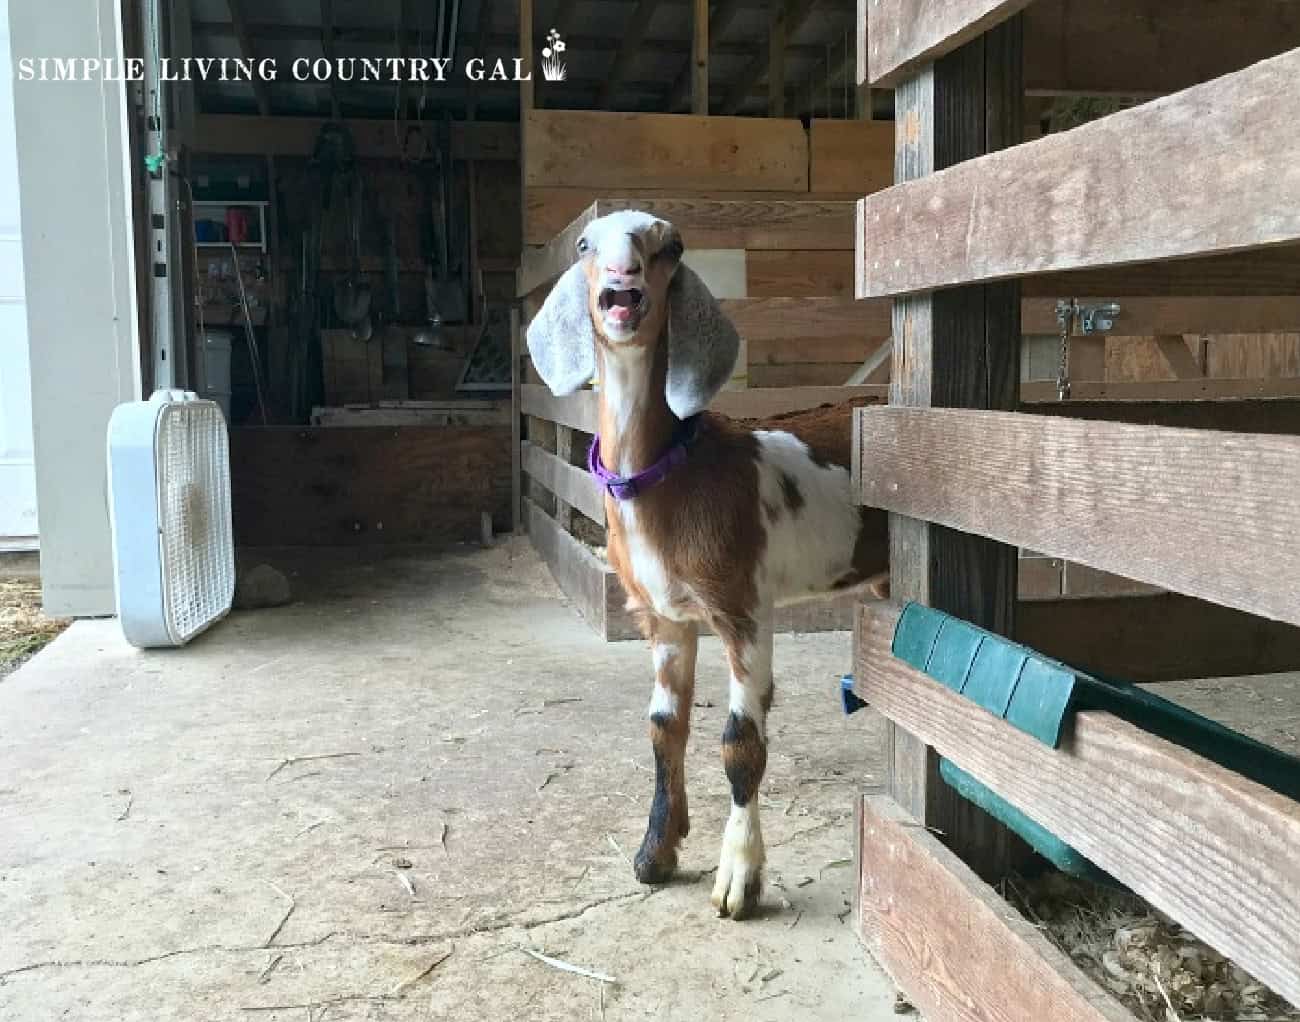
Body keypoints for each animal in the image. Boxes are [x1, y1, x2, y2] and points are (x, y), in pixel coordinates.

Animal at [526, 210, 889, 920]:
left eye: (670, 245)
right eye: (584, 244)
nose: (624, 281)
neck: (673, 474)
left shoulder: (742, 608)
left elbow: (741, 743)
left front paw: (738, 878)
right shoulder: (664, 618)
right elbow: (664, 728)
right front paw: (656, 852)